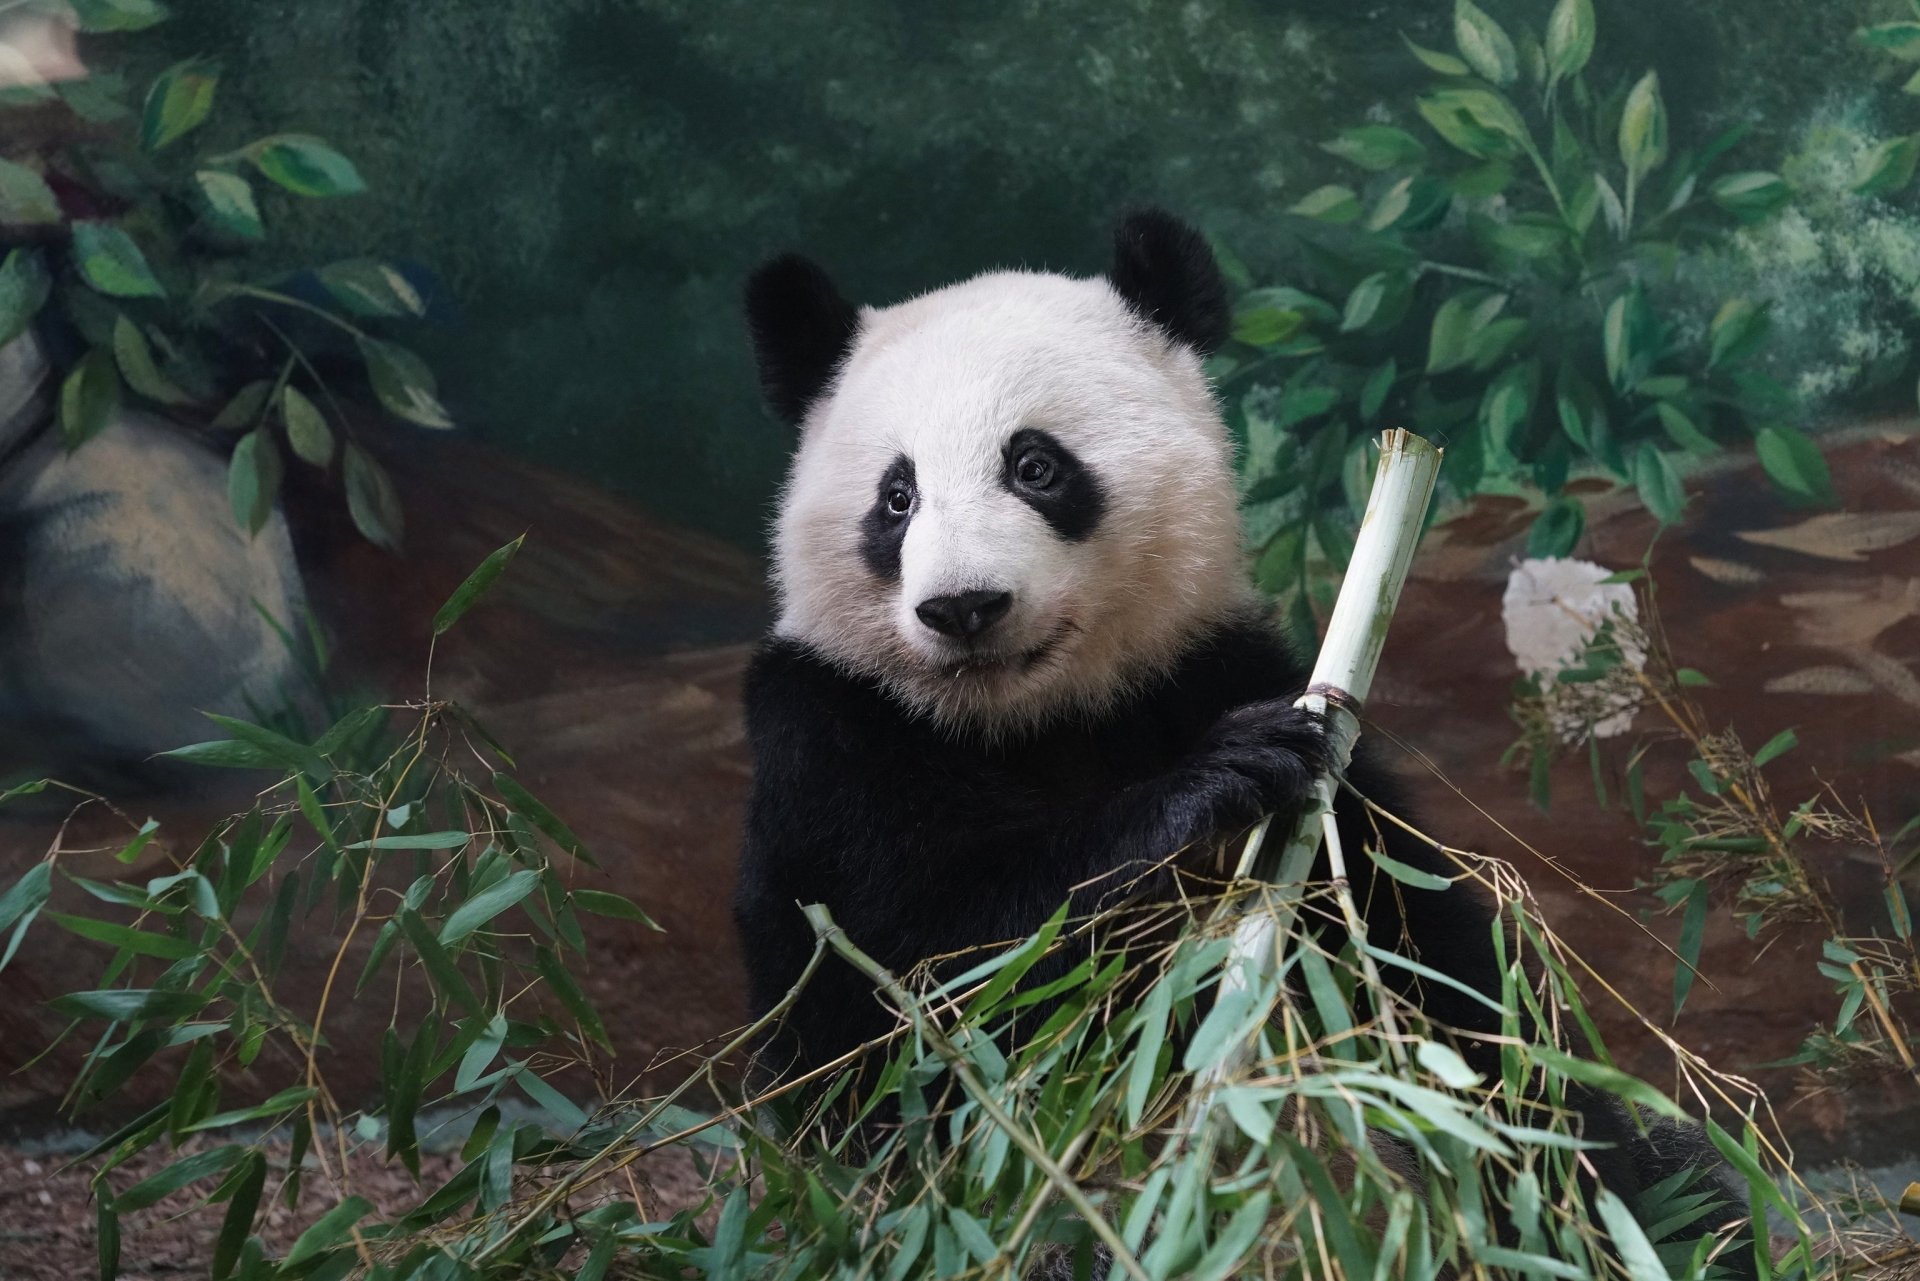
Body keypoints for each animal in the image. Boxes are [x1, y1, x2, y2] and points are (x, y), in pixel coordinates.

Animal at [731, 210, 1753, 1271]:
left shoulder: (1219, 673)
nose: (964, 606)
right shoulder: (834, 734)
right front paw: (1209, 789)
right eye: (897, 497)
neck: (1027, 716)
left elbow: (1432, 972)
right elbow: (932, 969)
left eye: (1036, 466)